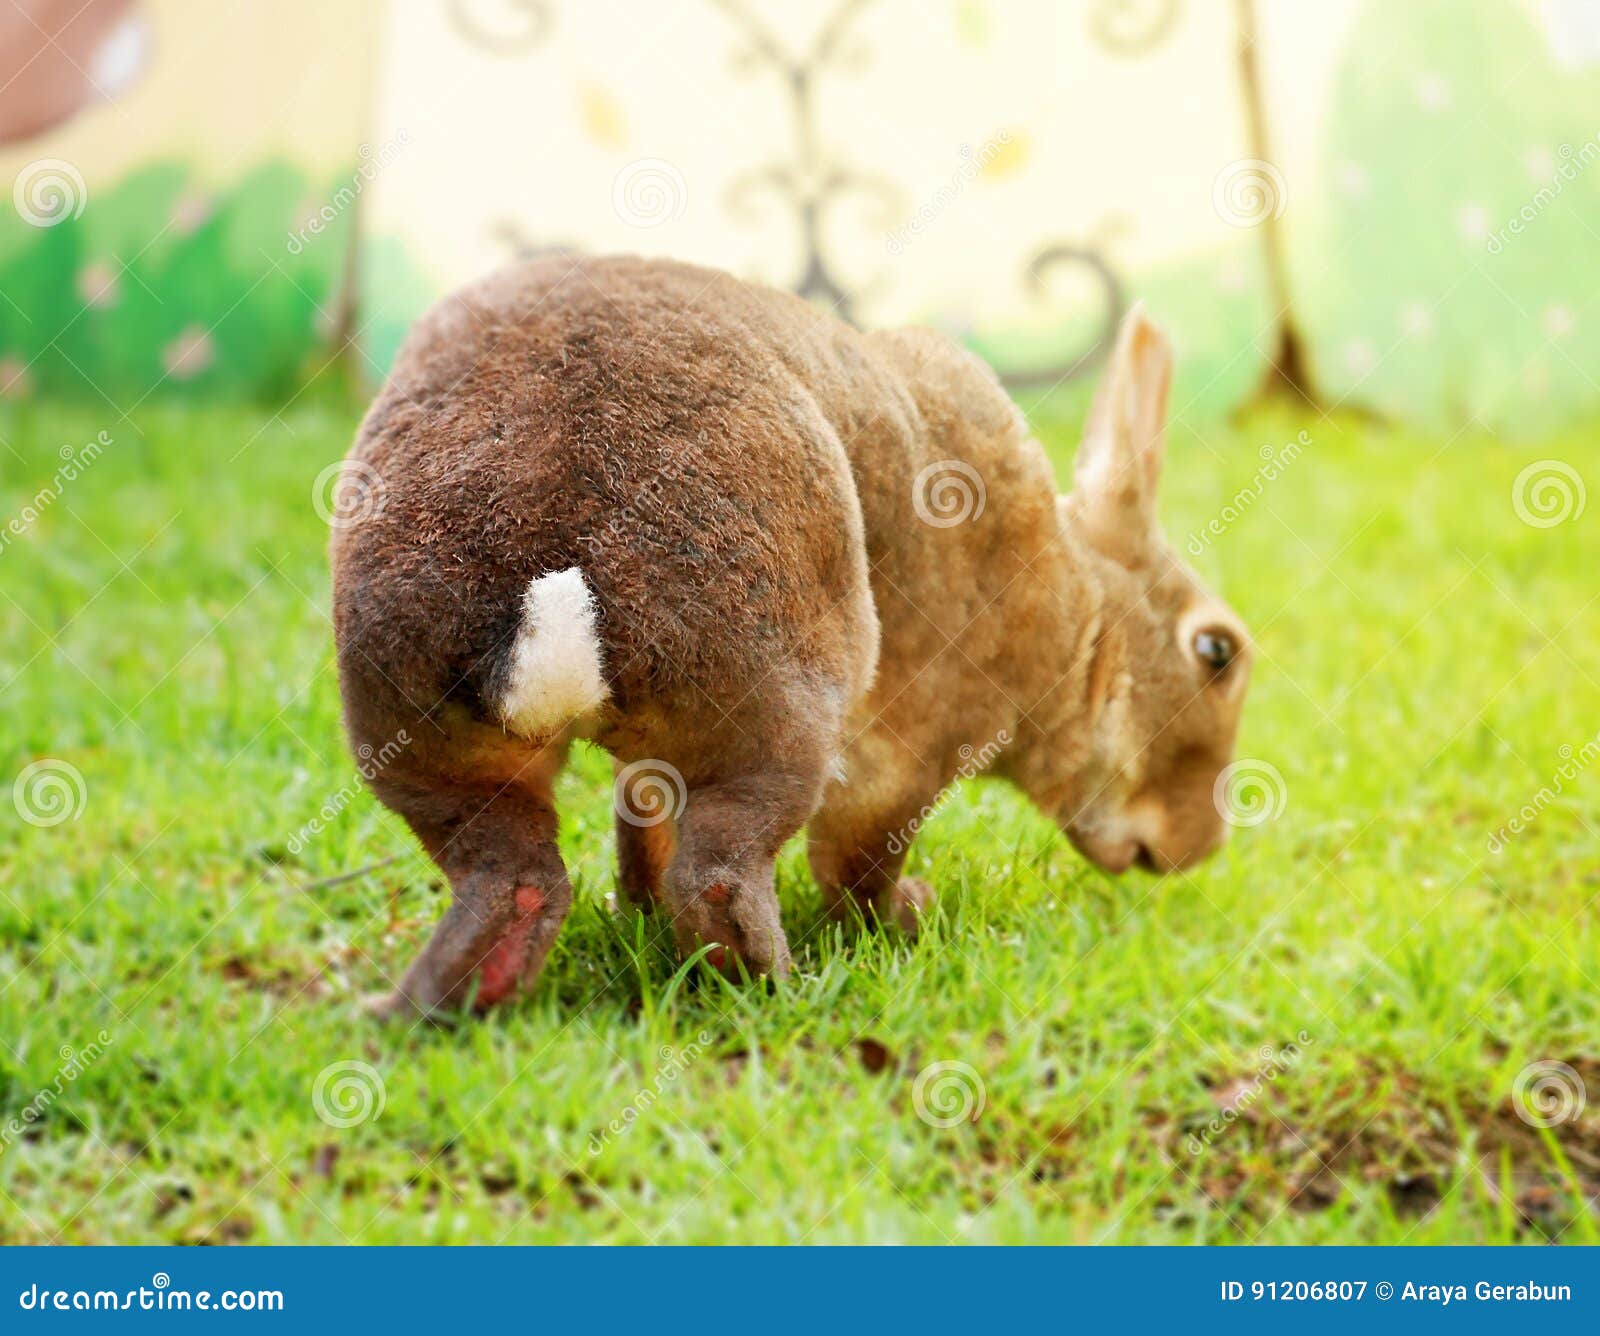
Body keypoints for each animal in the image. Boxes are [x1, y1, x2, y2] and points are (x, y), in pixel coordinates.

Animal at [330, 255, 1252, 1020]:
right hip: (778, 704)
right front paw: (904, 919)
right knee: (720, 874)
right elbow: (858, 860)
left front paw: (636, 908)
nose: (1200, 848)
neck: (1082, 616)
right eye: (1218, 654)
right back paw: (783, 986)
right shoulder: (909, 758)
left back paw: (412, 1012)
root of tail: (546, 588)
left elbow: (641, 823)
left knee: (513, 877)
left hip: (432, 734)